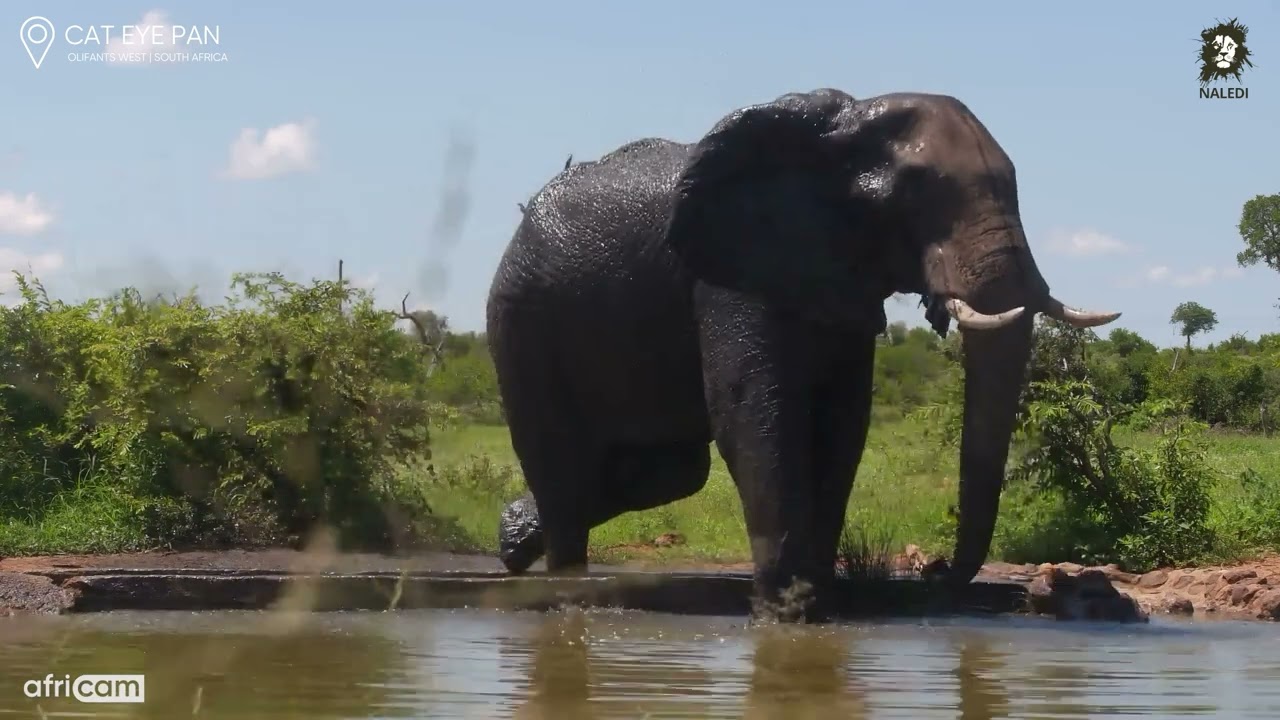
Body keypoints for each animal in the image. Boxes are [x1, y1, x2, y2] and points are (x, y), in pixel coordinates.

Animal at [484, 88, 1120, 620]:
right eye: (916, 193)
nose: (934, 570)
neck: (843, 128)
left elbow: (842, 422)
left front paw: (817, 604)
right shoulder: (730, 270)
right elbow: (754, 410)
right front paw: (787, 616)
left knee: (667, 471)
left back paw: (514, 538)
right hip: (521, 325)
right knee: (564, 470)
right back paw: (563, 591)